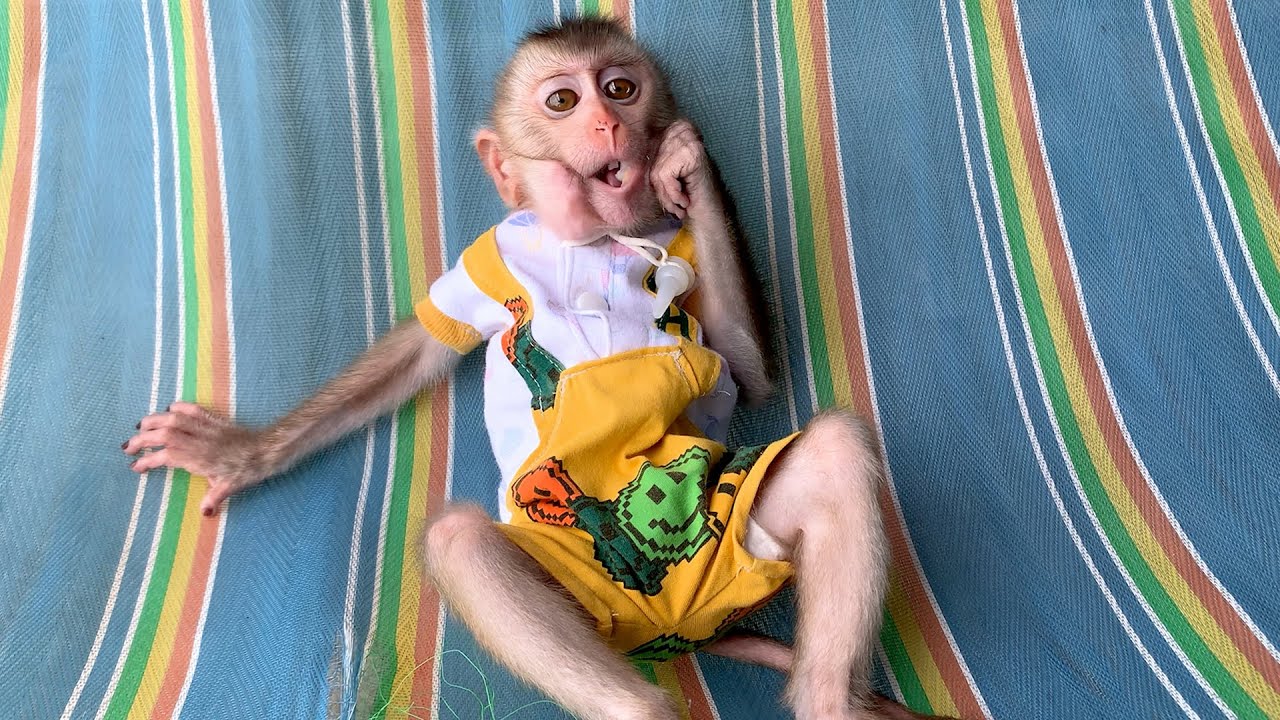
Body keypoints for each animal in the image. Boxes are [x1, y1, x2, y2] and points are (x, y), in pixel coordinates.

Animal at [124, 18, 939, 720]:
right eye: (563, 100)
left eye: (620, 88)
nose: (610, 125)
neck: (603, 240)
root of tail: (678, 628)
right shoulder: (488, 259)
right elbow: (419, 355)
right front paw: (243, 455)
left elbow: (746, 377)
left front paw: (688, 164)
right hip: (598, 602)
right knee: (465, 546)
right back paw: (641, 706)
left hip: (728, 541)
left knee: (833, 454)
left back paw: (827, 699)